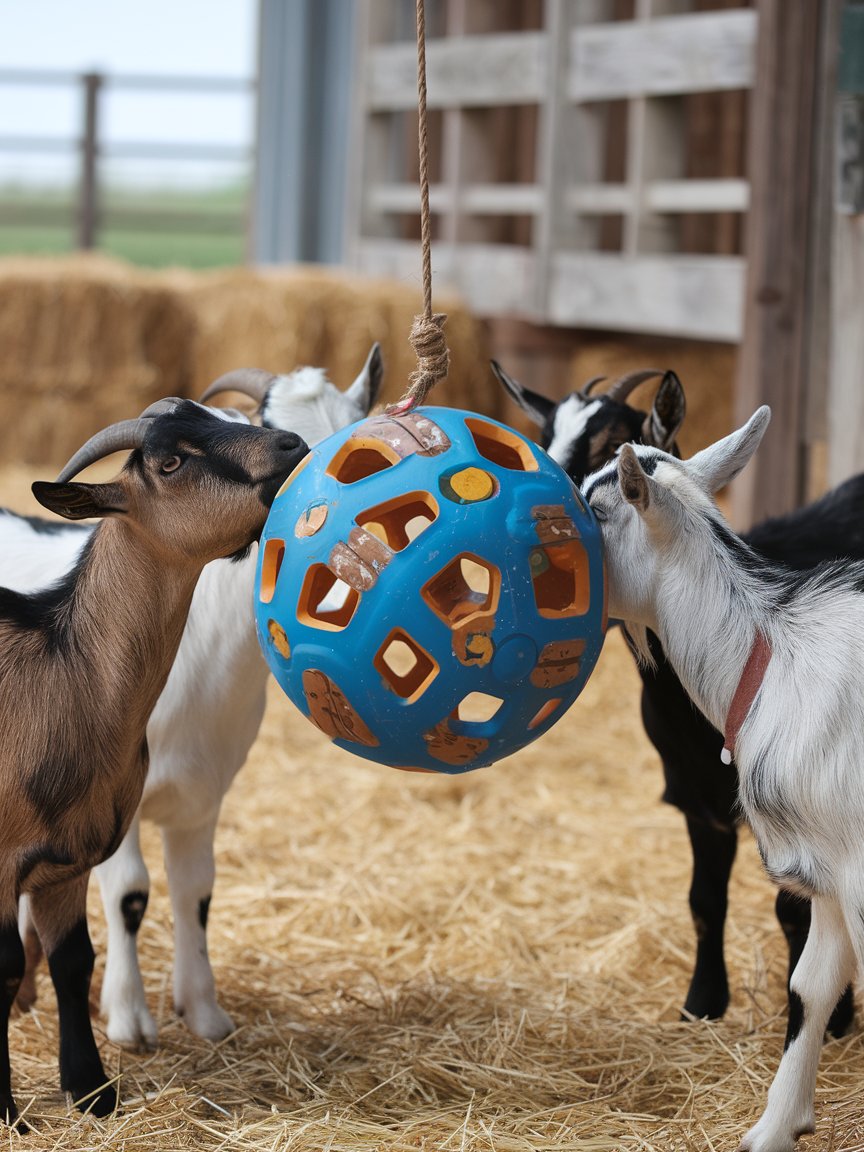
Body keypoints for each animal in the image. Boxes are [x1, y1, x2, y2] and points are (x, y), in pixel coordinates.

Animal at [0, 400, 307, 1124]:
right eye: (169, 461)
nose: (292, 444)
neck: (61, 672)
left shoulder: (67, 856)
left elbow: (74, 959)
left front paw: (91, 1093)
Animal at [10, 348, 382, 1050]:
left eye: (359, 432)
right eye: (269, 425)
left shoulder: (205, 794)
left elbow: (196, 892)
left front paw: (205, 1013)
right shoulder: (108, 802)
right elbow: (129, 894)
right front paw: (130, 1020)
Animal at [493, 362, 859, 1036]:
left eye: (614, 442)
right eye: (544, 434)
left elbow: (794, 913)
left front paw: (837, 1019)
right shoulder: (697, 799)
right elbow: (704, 901)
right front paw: (702, 1004)